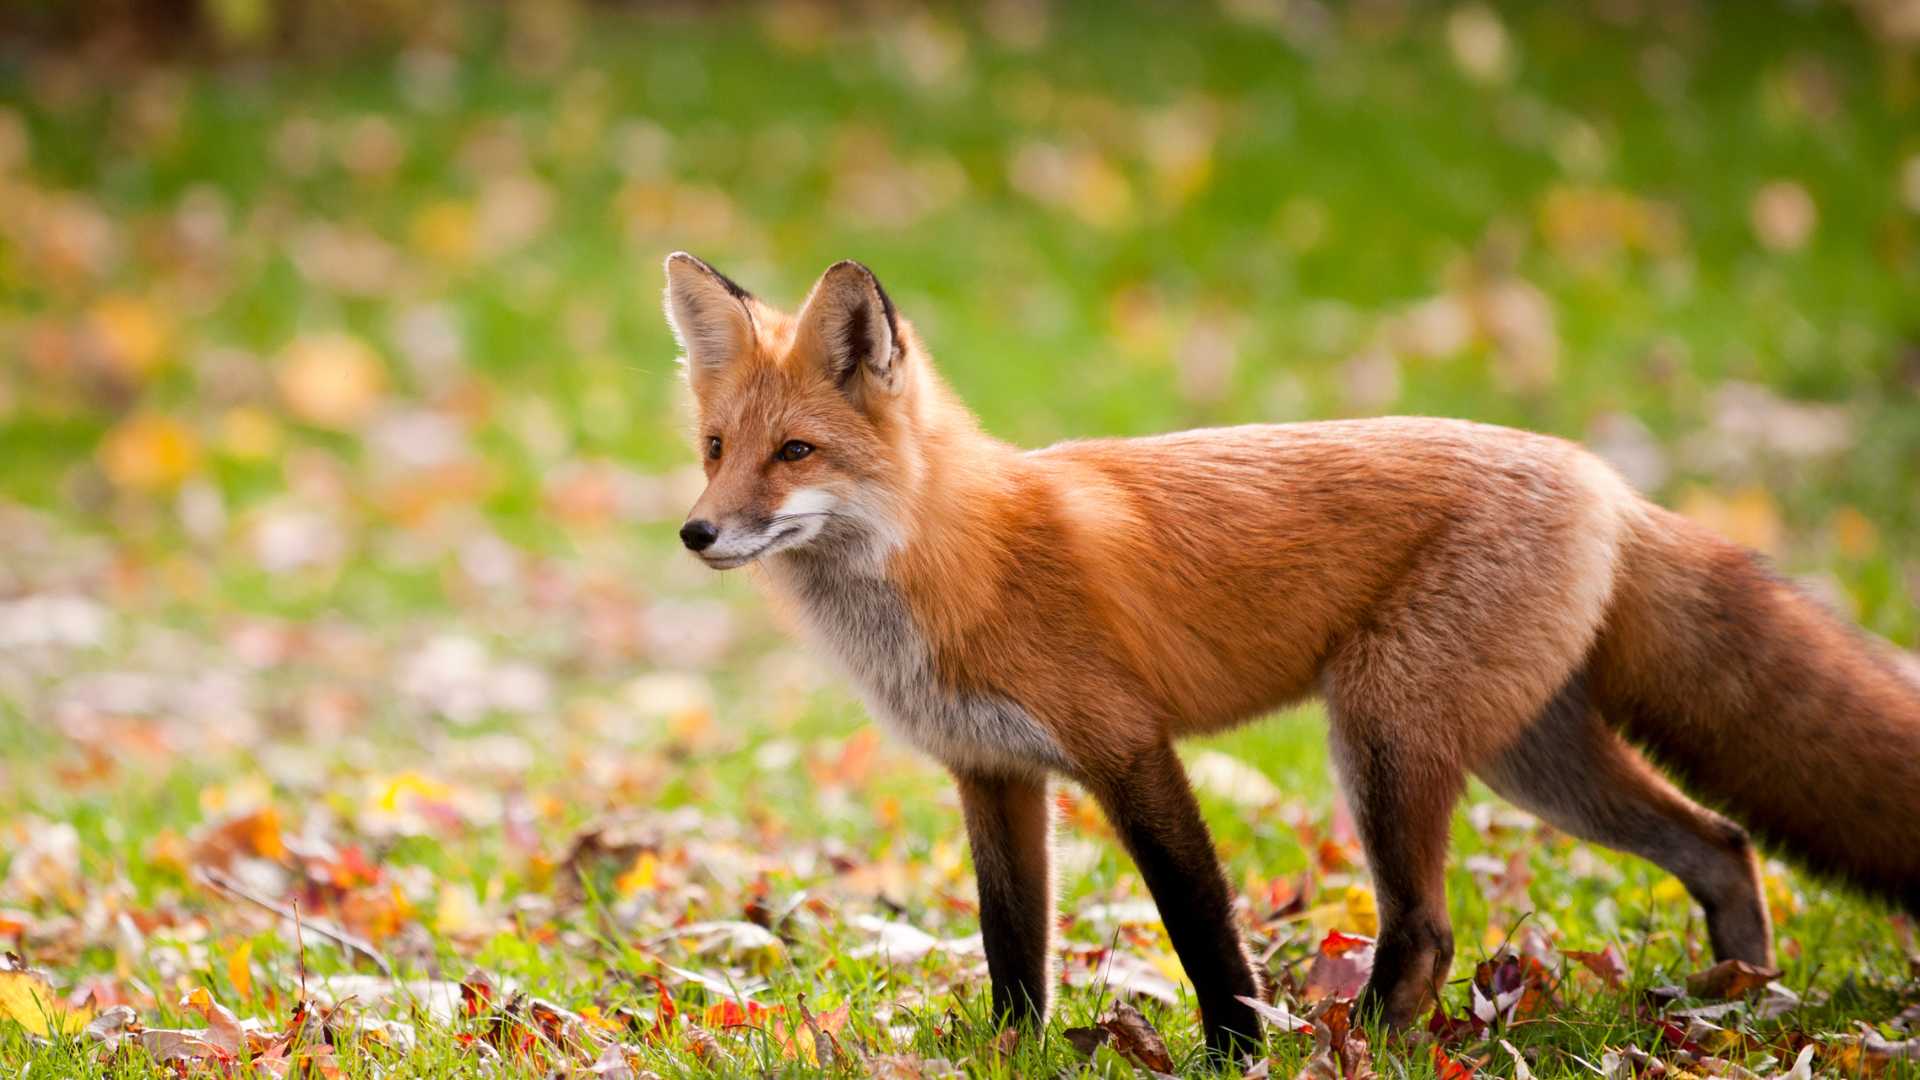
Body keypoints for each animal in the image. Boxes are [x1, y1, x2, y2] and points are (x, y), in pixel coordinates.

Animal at [662, 251, 1920, 1058]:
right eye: (716, 448)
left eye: (795, 452)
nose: (697, 533)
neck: (951, 558)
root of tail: (1602, 477)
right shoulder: (994, 773)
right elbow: (1012, 941)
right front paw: (1015, 1052)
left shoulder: (1128, 748)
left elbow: (1200, 923)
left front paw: (1235, 1048)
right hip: (1531, 762)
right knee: (1722, 843)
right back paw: (1736, 999)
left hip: (1383, 736)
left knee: (1429, 929)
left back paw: (1359, 1042)